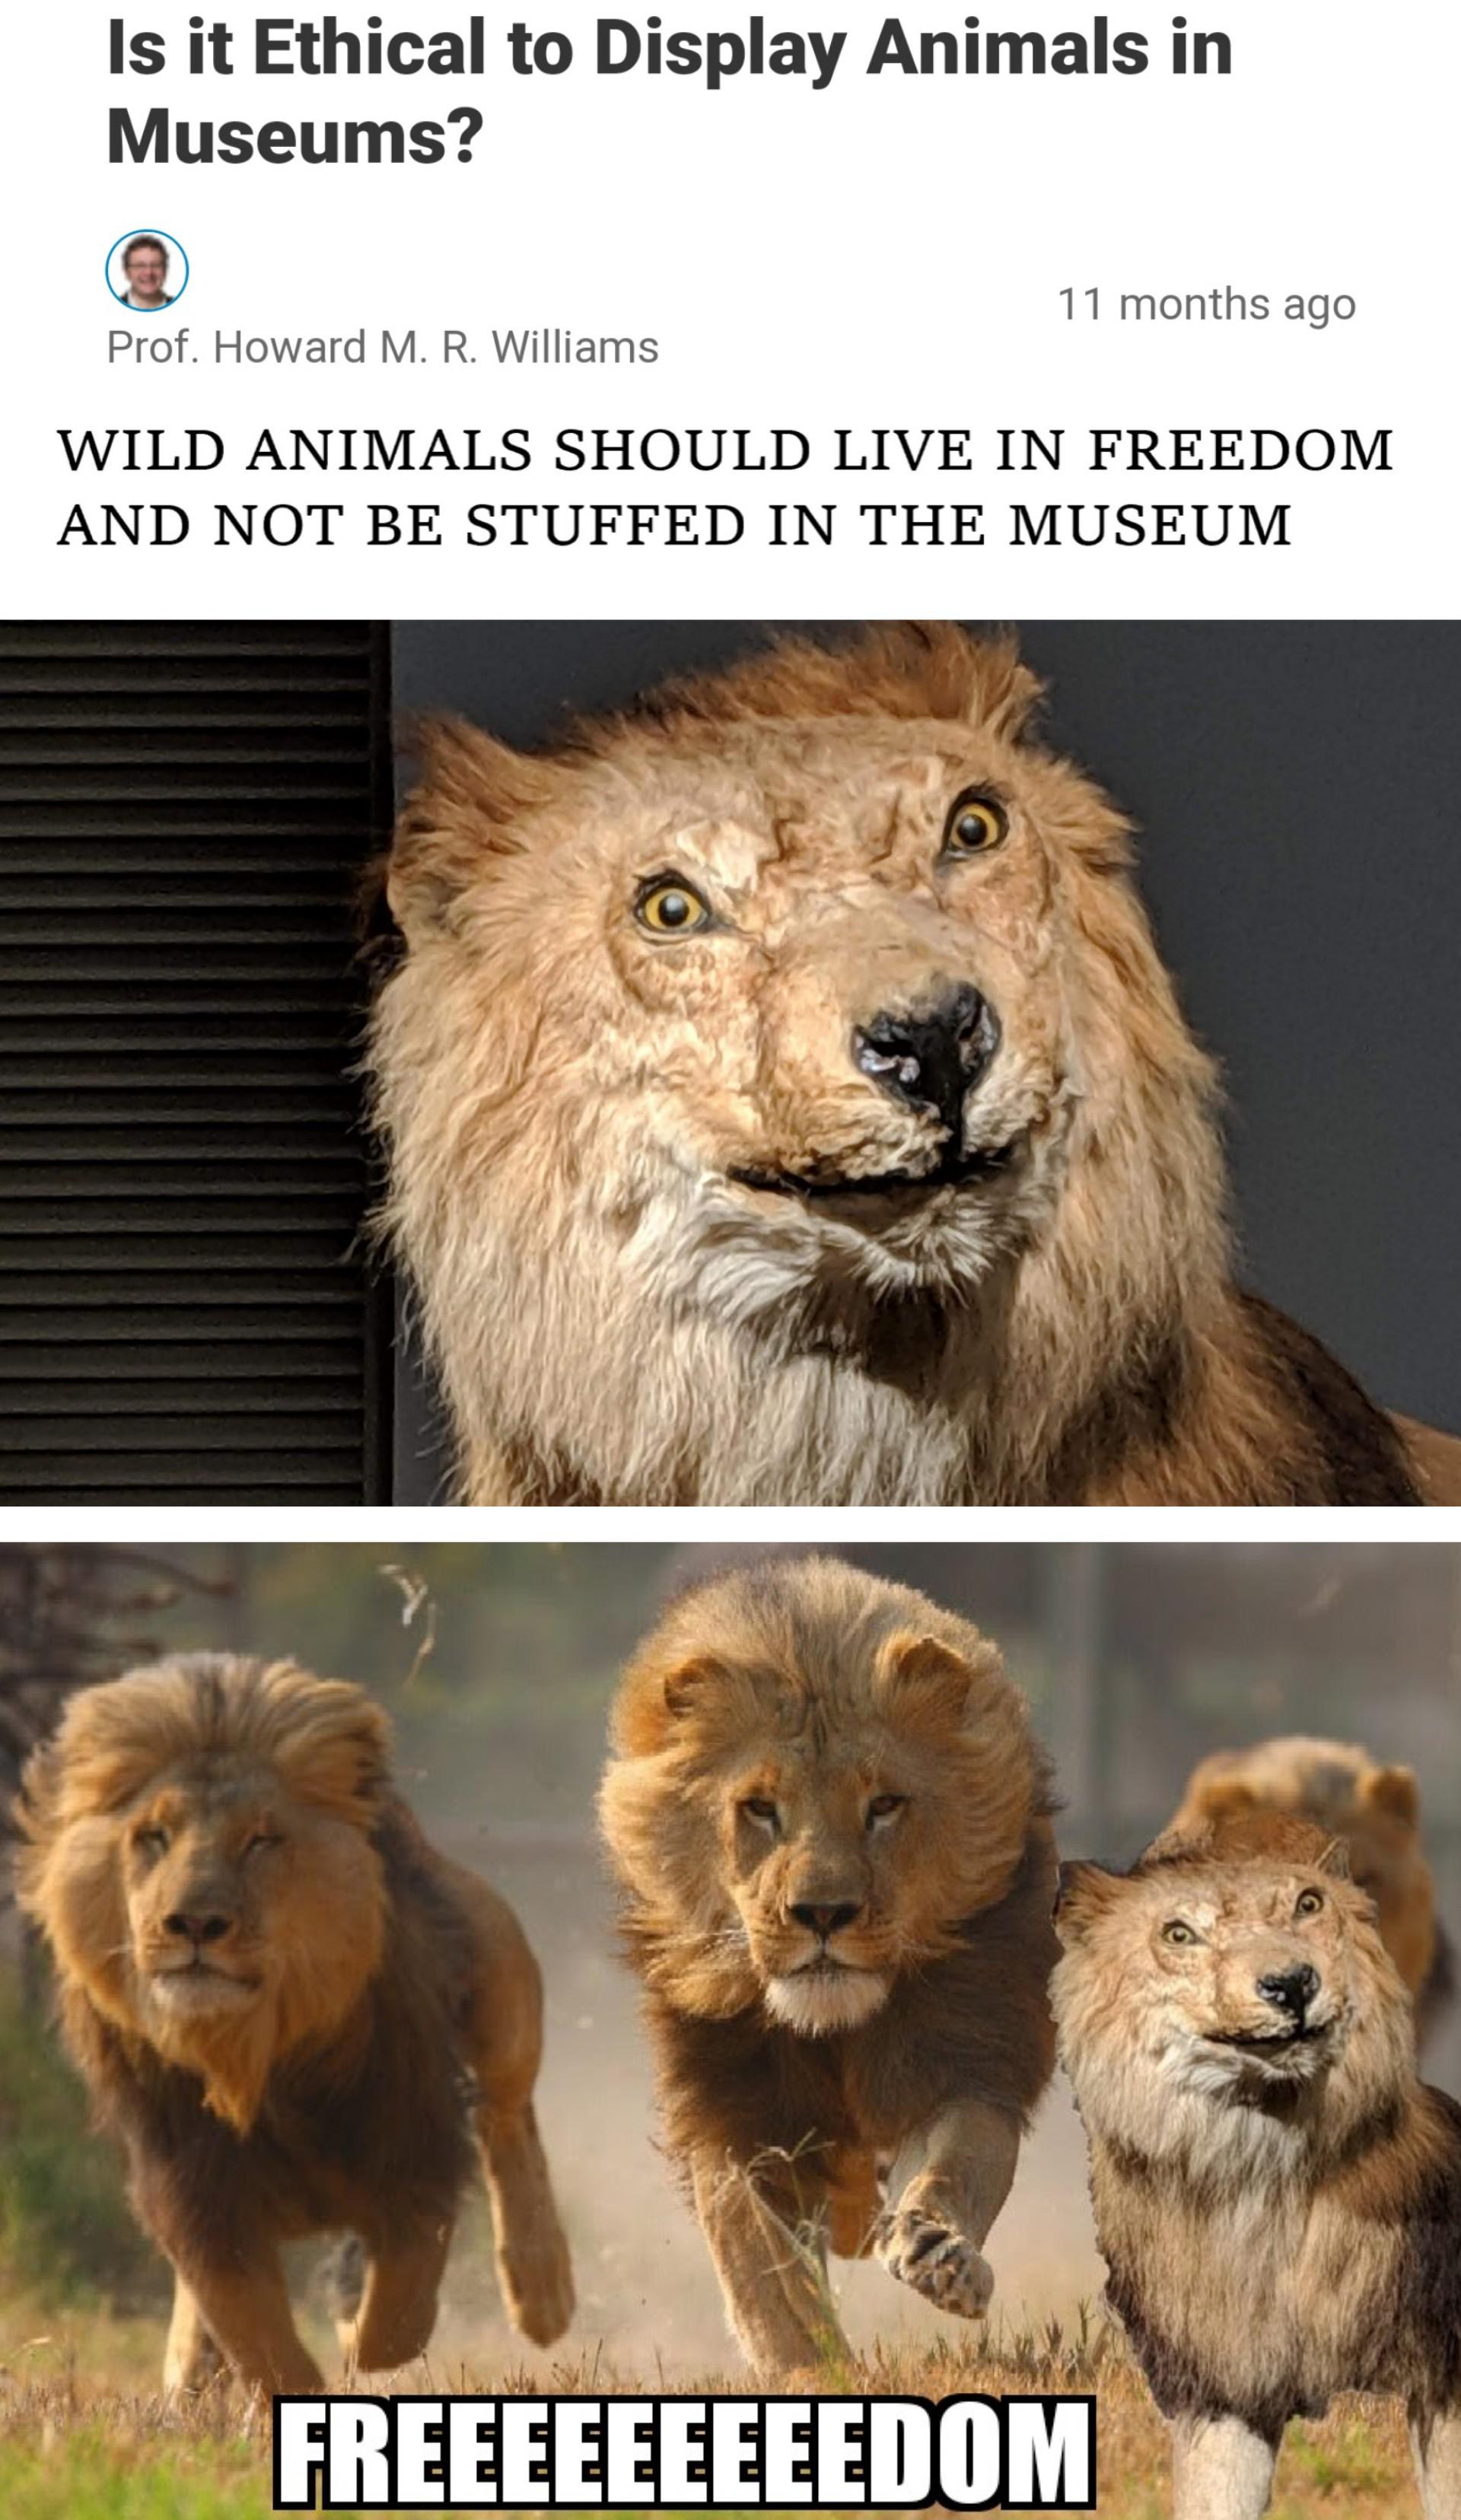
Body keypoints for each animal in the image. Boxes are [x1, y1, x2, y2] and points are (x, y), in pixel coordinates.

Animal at [14, 1653, 575, 2396]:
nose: (193, 1923)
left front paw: (354, 2315)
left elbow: (396, 2315)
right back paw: (190, 2372)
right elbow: (256, 2336)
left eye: (261, 1840)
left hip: (496, 1966)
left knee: (509, 2117)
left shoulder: (411, 2152)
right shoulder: (195, 2193)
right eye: (153, 1837)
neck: (253, 2056)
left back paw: (542, 2290)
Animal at [597, 1555, 1058, 2381]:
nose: (822, 1913)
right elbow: (764, 2271)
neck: (830, 2026)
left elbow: (956, 2164)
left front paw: (939, 2252)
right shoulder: (733, 2113)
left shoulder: (958, 2056)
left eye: (884, 1806)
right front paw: (810, 2370)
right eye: (759, 1809)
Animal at [1052, 1812, 1461, 2520]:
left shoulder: (1442, 2378)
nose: (1292, 1984)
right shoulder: (1224, 2395)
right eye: (1179, 1933)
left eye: (1308, 1904)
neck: (1262, 2180)